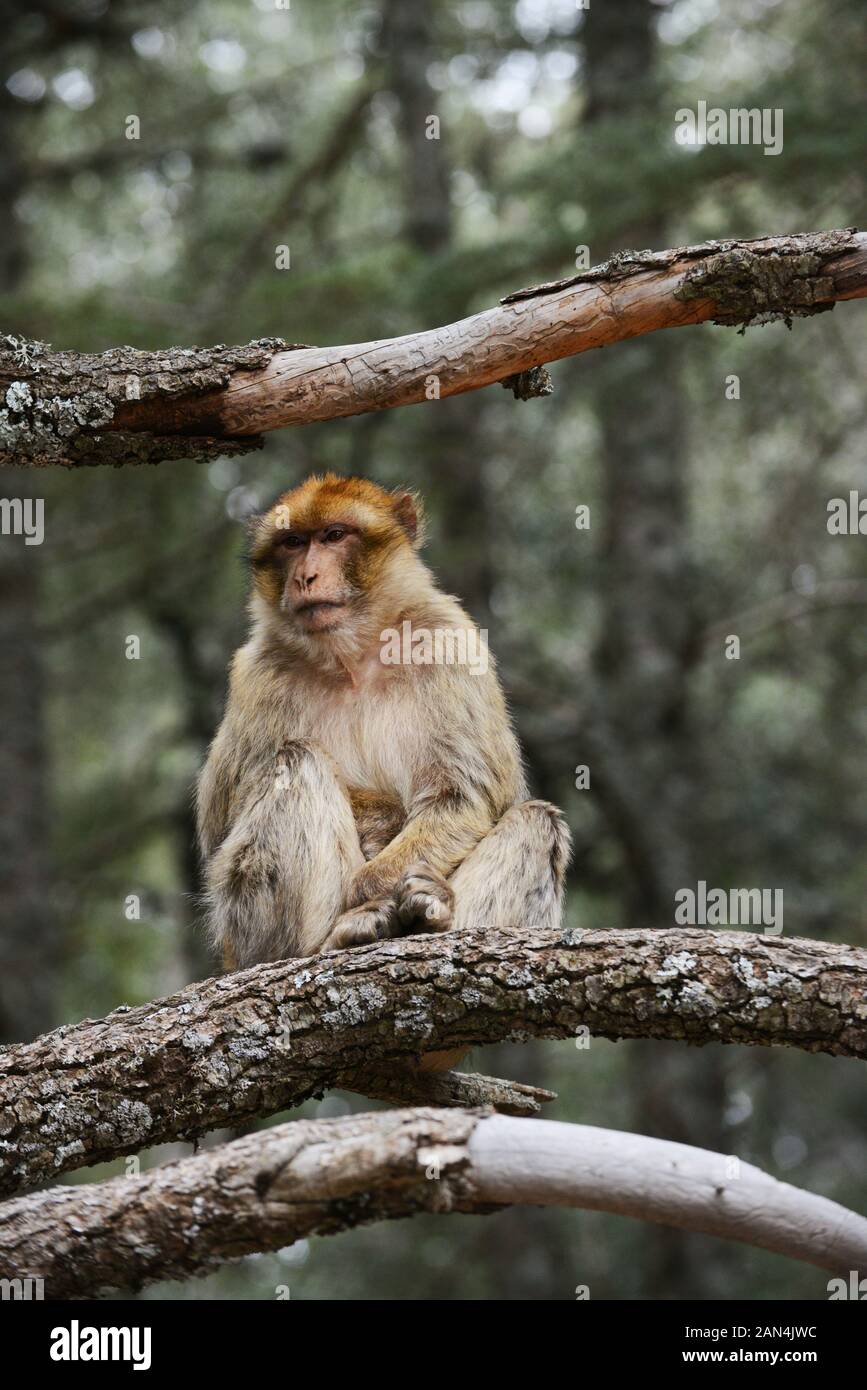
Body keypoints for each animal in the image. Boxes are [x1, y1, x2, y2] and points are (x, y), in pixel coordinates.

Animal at [196, 473, 571, 1068]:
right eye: (292, 543)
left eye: (333, 535)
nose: (305, 575)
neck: (353, 657)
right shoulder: (257, 674)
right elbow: (221, 825)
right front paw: (377, 835)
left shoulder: (448, 640)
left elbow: (464, 797)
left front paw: (374, 881)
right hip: (243, 939)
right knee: (297, 761)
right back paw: (330, 943)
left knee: (538, 821)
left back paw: (427, 919)